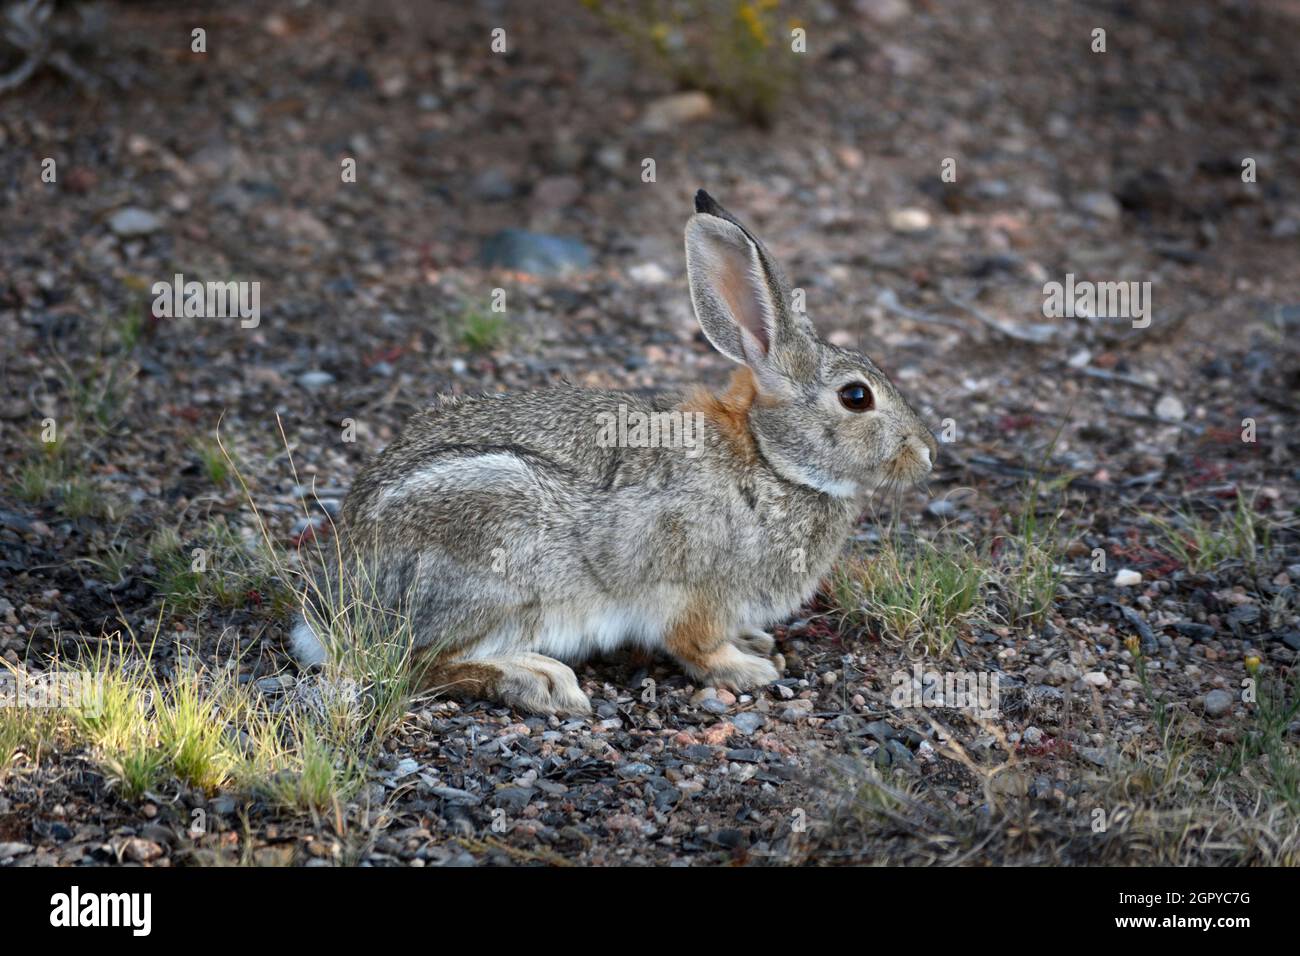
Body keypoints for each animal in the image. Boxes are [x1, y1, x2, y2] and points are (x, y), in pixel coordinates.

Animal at [290, 189, 937, 716]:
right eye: (856, 396)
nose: (927, 453)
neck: (769, 459)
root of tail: (333, 608)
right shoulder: (693, 591)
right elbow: (696, 646)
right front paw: (746, 669)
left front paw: (756, 643)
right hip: (498, 557)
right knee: (417, 663)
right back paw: (539, 680)